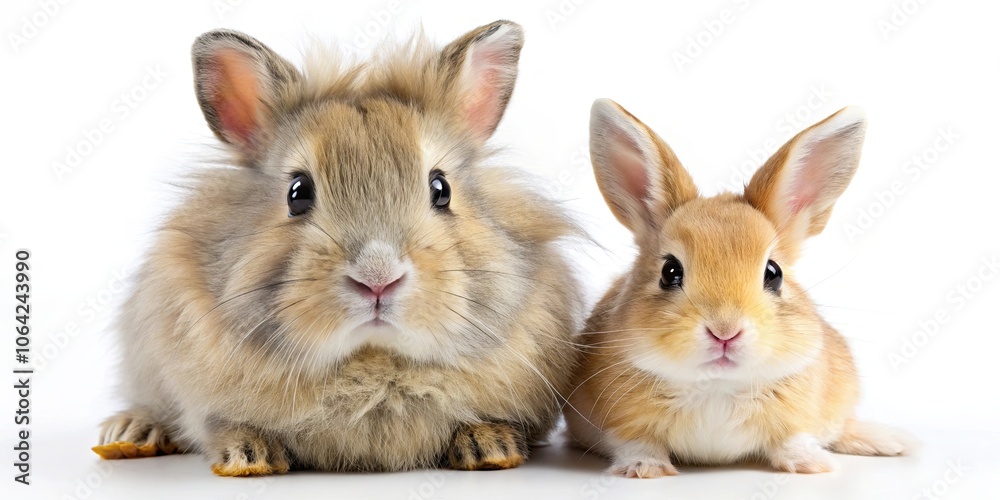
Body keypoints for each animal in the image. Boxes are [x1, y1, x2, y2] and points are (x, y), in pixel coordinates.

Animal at [91, 21, 585, 475]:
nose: (378, 278)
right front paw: (248, 458)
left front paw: (492, 448)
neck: (373, 361)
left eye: (440, 189)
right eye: (297, 192)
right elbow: (225, 427)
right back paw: (129, 434)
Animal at [564, 99, 915, 478]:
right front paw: (644, 469)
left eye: (773, 273)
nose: (725, 331)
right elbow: (635, 442)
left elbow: (793, 439)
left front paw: (811, 464)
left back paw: (890, 441)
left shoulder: (798, 417)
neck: (716, 386)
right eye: (670, 272)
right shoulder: (620, 423)